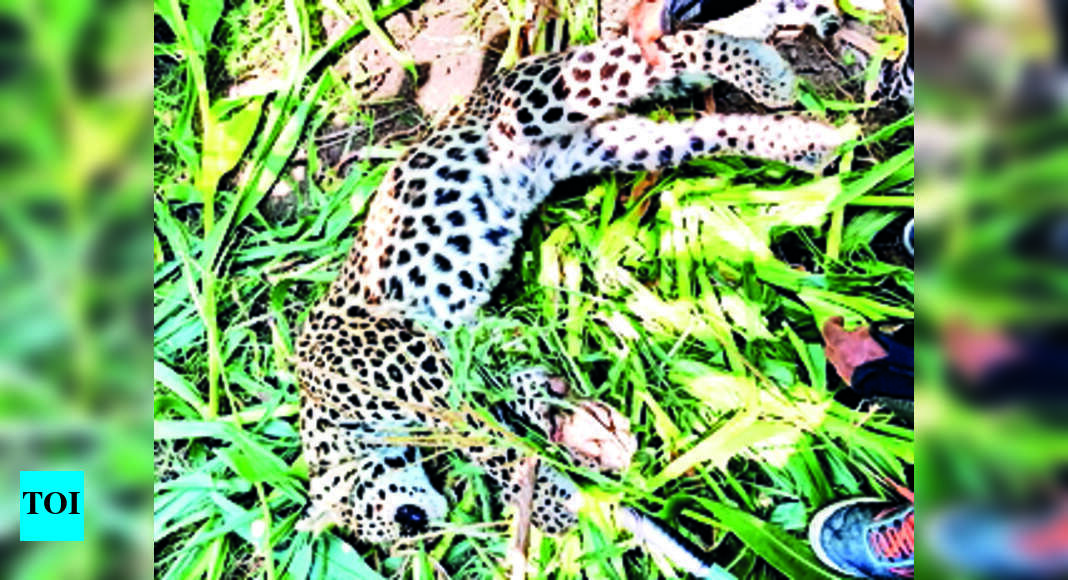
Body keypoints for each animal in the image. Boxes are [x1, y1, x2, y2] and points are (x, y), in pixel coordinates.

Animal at [295, 0, 854, 546]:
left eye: (387, 523)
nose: (425, 526)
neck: (324, 410)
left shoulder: (428, 373)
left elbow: (490, 445)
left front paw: (549, 504)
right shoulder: (462, 351)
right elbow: (514, 390)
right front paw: (575, 434)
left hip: (540, 101)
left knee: (656, 47)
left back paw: (764, 70)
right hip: (609, 143)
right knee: (687, 106)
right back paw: (801, 131)